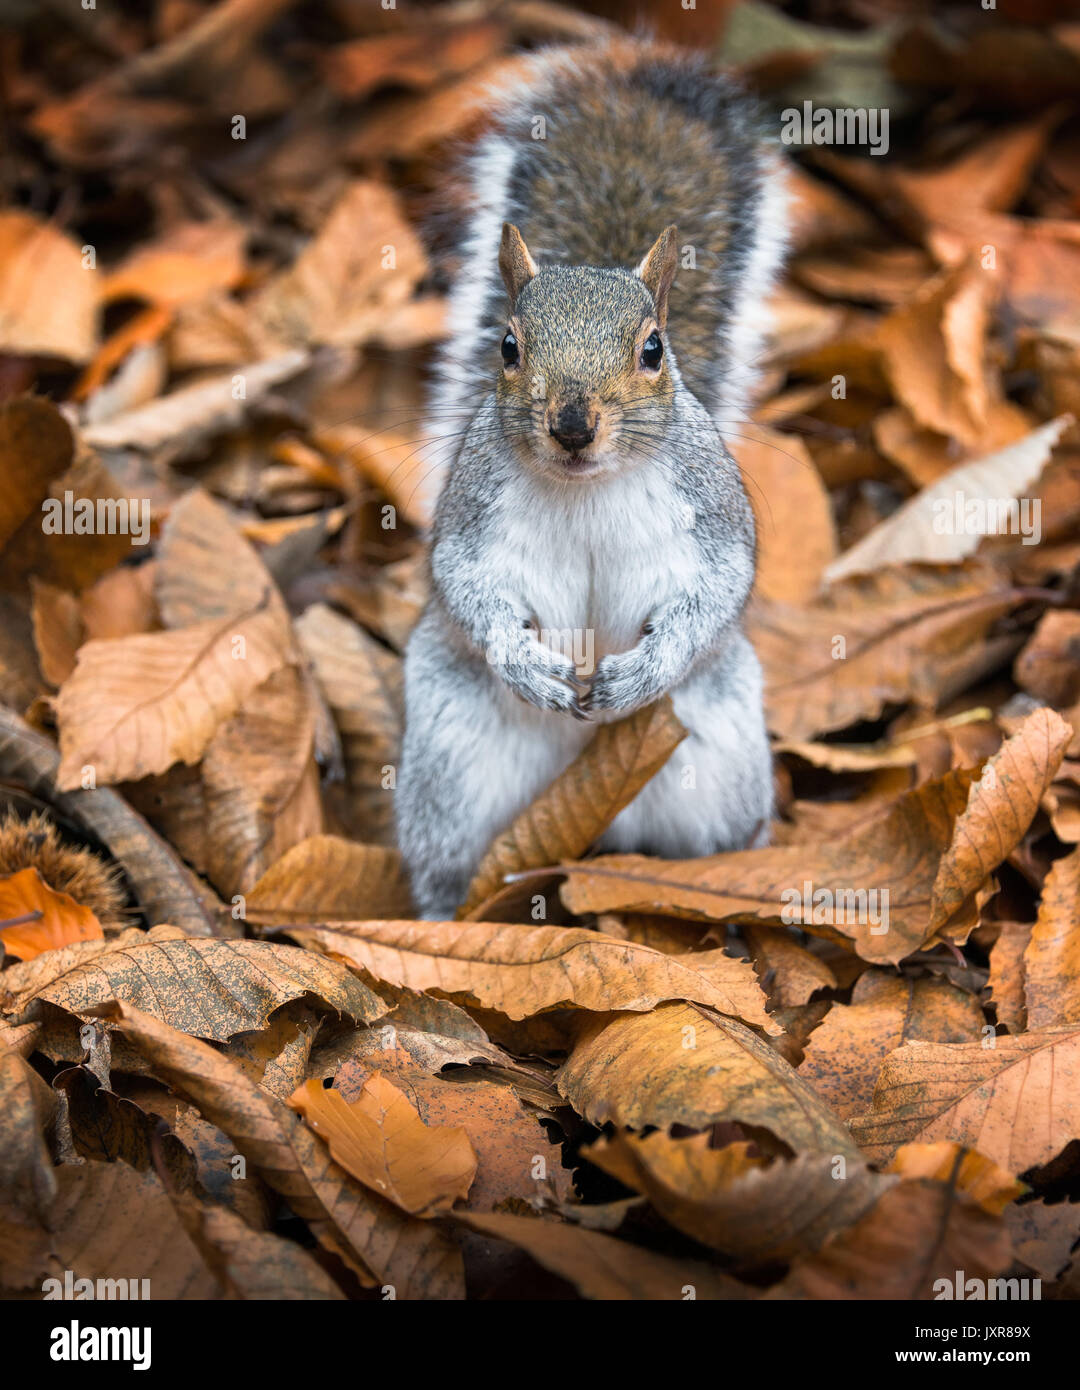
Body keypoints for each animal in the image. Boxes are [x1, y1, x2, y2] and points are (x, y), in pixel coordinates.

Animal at [396, 37, 788, 920]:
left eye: (654, 349)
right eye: (508, 346)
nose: (572, 426)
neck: (585, 486)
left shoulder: (711, 516)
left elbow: (715, 593)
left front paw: (647, 665)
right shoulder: (472, 516)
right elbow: (466, 583)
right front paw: (521, 658)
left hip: (719, 753)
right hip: (447, 761)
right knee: (445, 862)